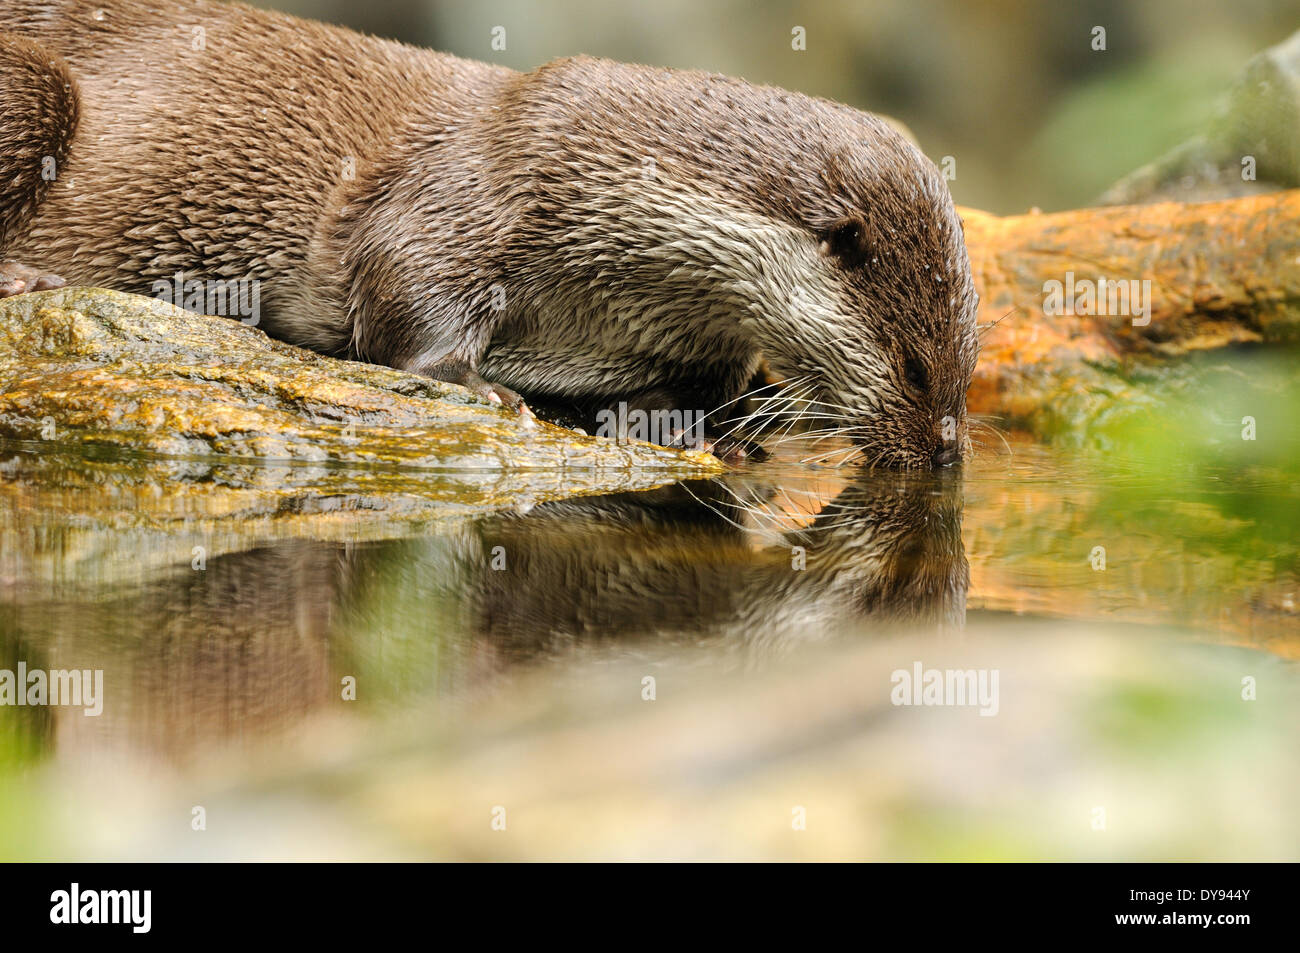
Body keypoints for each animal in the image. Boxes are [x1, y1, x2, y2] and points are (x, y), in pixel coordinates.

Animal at [0, 0, 979, 469]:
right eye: (915, 369)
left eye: (964, 371)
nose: (945, 451)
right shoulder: (471, 188)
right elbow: (400, 290)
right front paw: (479, 388)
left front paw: (711, 430)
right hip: (39, 94)